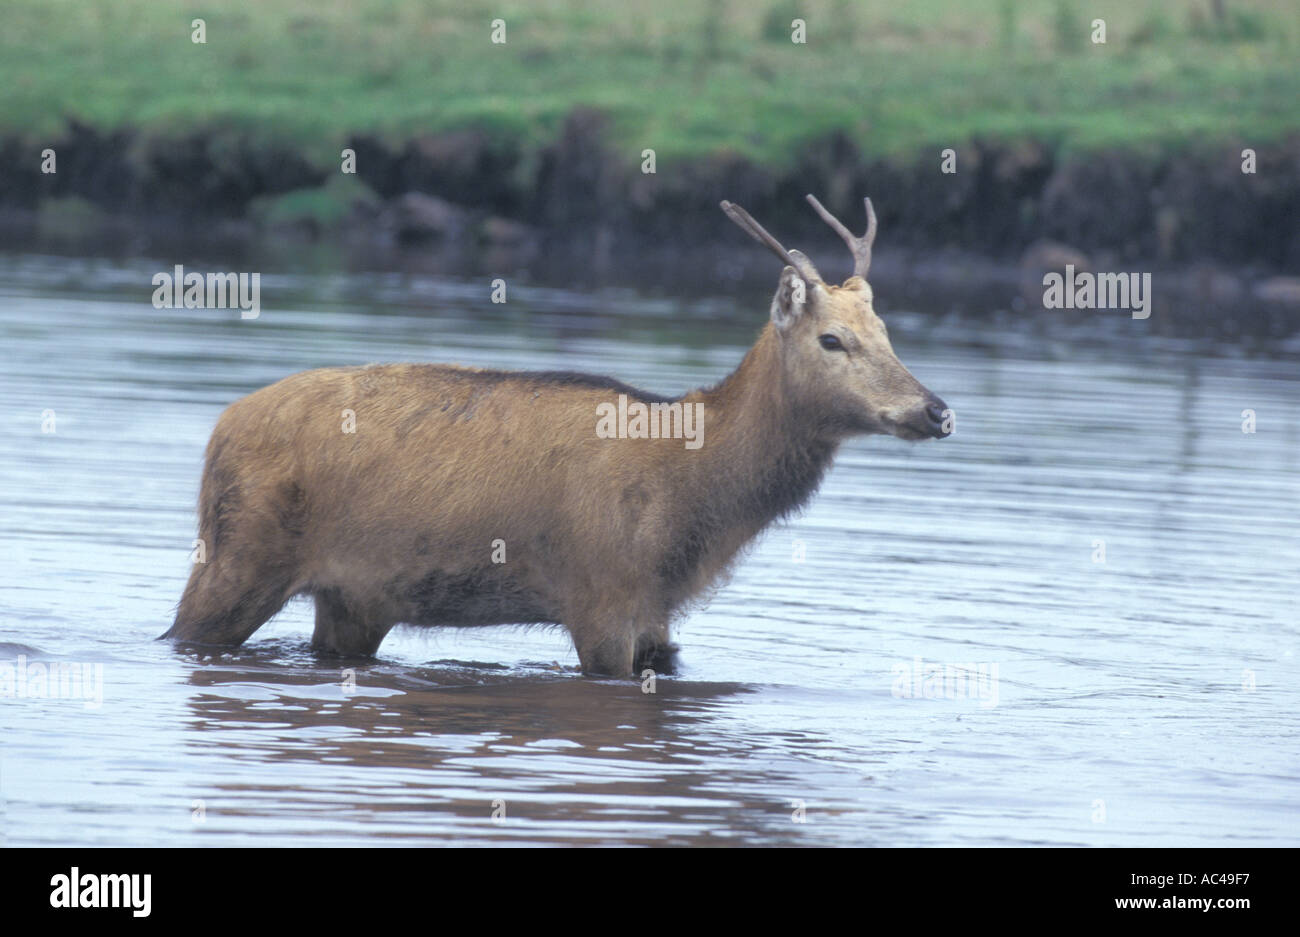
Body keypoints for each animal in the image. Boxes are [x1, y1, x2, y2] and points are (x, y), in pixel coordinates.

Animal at [164, 195, 951, 676]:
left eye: (888, 333)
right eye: (832, 339)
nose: (936, 409)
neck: (695, 502)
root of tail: (217, 431)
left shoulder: (657, 616)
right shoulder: (601, 595)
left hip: (352, 599)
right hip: (236, 554)